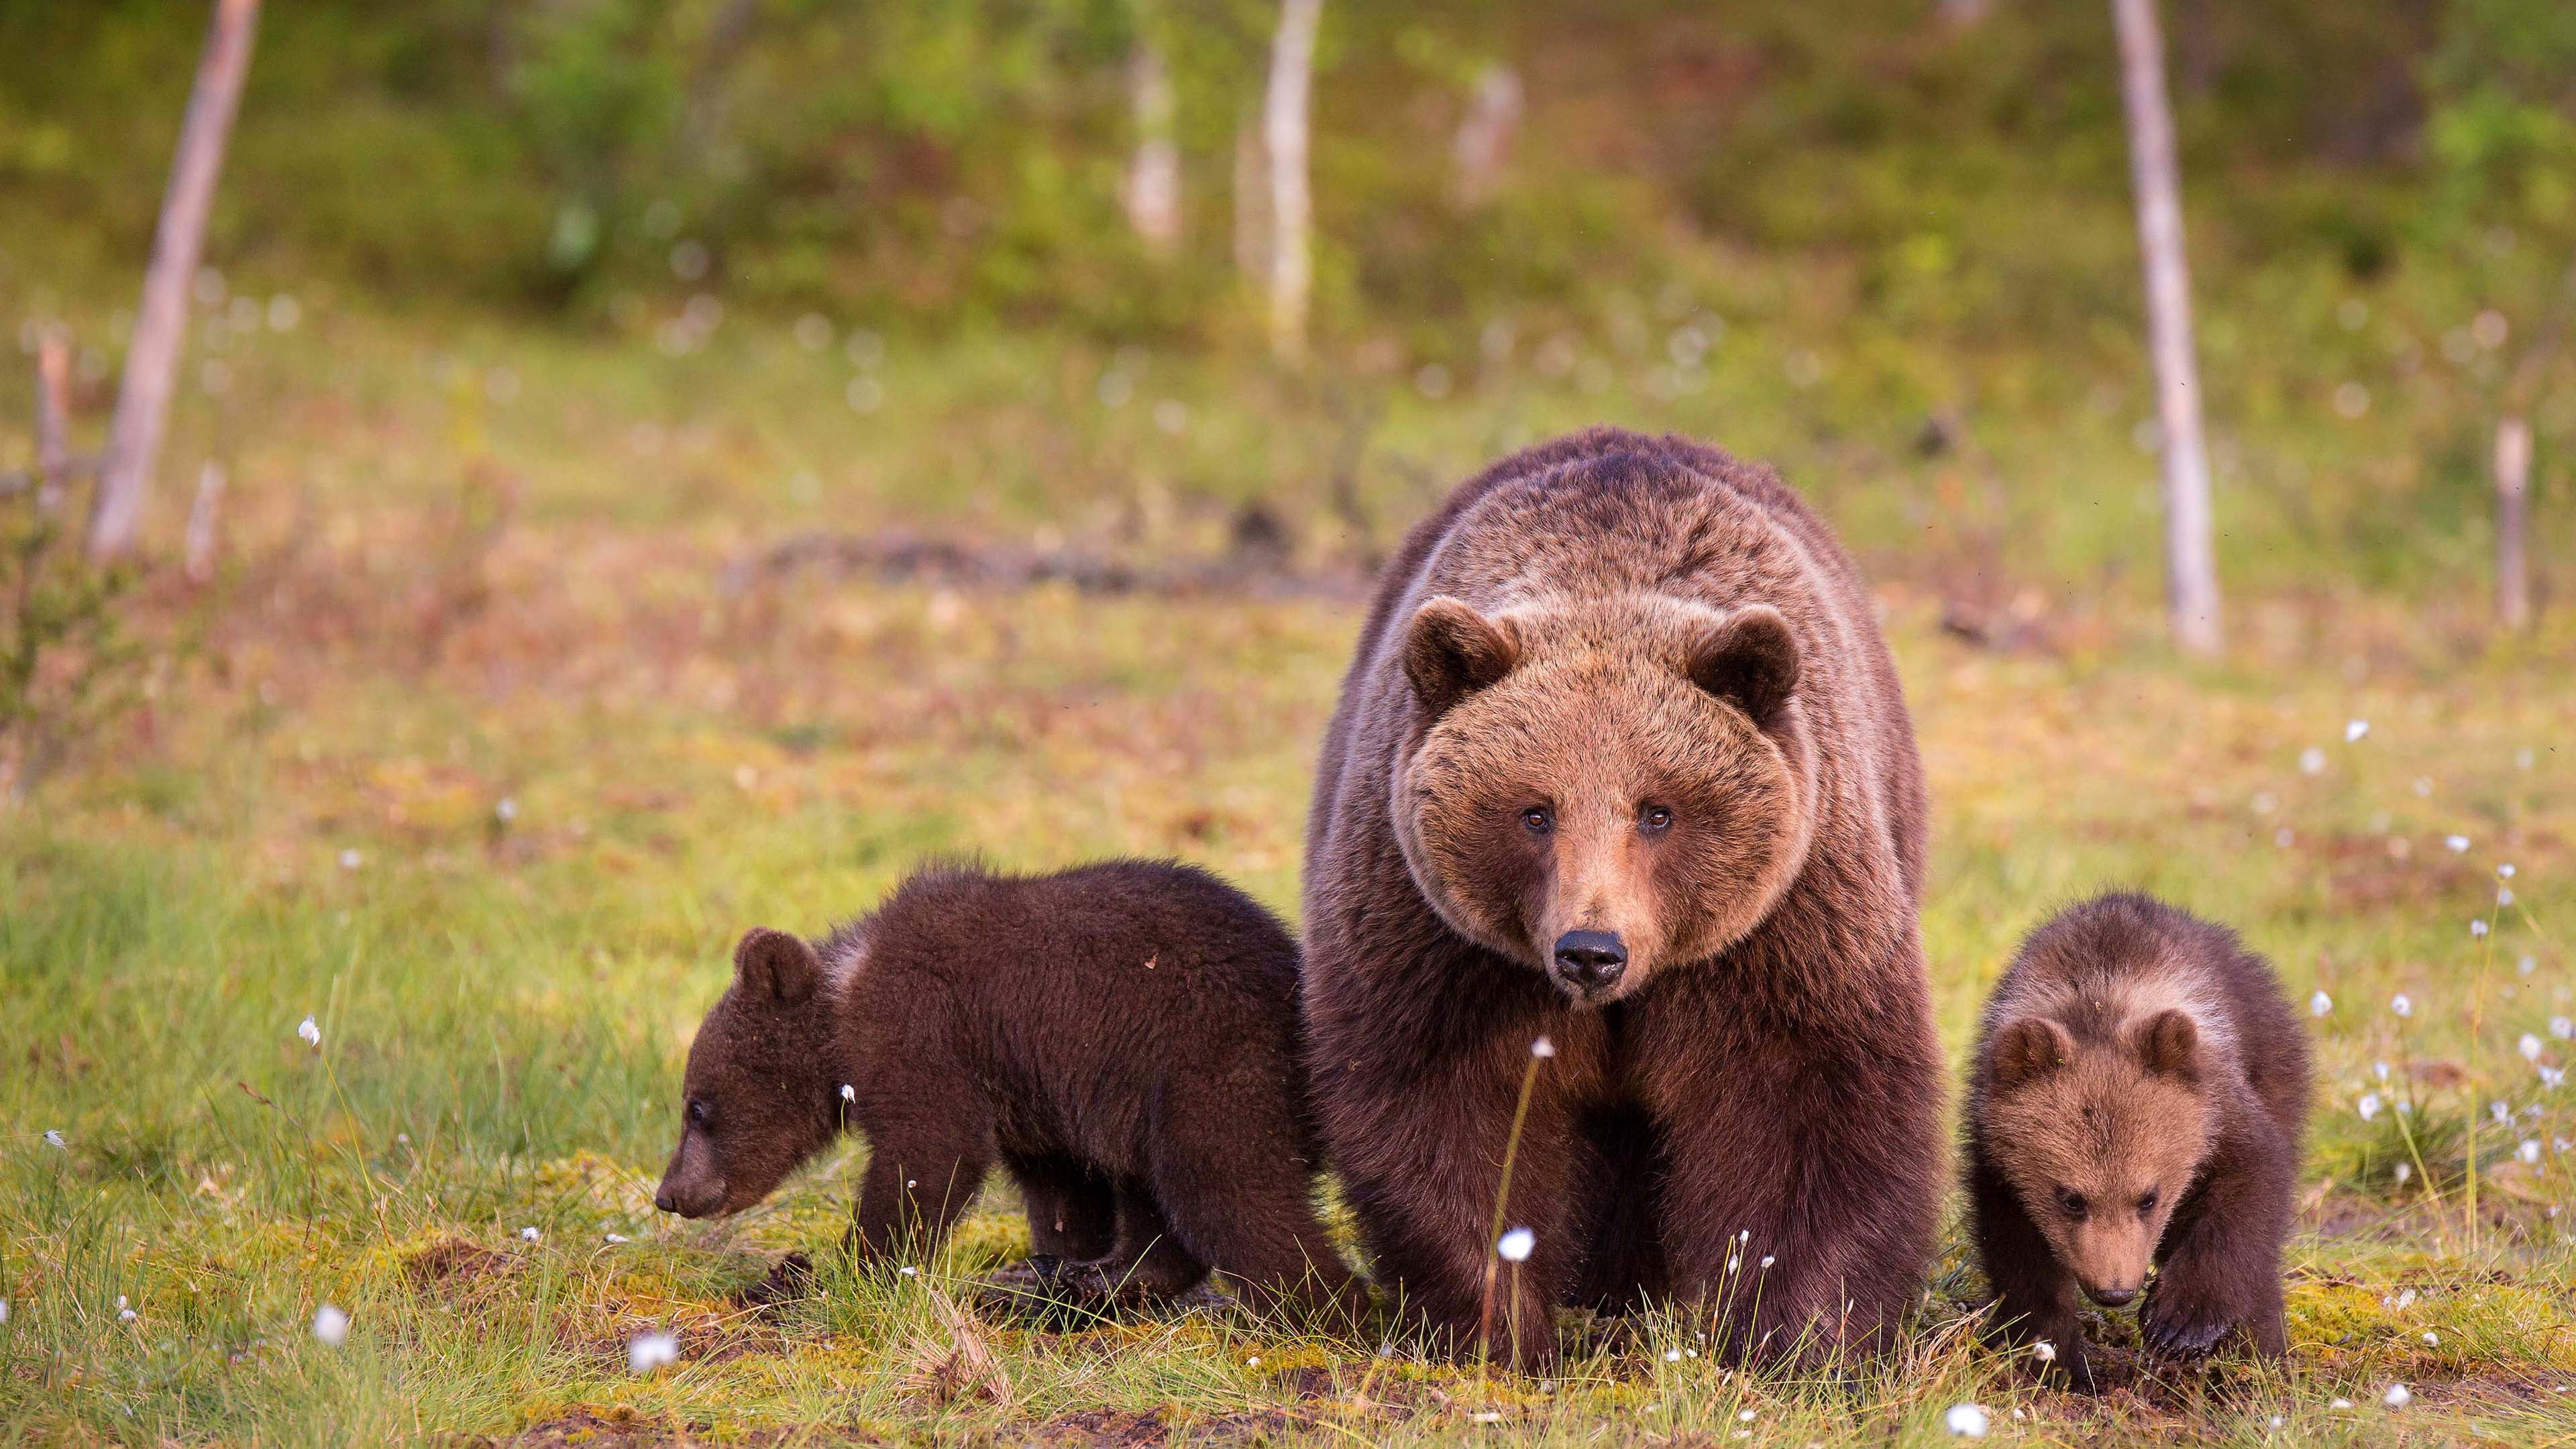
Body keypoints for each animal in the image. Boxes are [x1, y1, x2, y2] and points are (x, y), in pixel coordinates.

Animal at [653, 859, 1366, 1323]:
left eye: (697, 1107)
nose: (669, 1195)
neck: (842, 1005)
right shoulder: (1027, 1095)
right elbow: (1061, 1192)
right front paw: (1057, 1265)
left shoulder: (926, 1032)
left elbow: (929, 1154)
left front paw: (838, 1272)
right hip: (1143, 1097)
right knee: (1160, 1195)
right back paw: (1106, 1278)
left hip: (1214, 1067)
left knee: (1231, 1191)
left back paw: (1337, 1315)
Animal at [1300, 427, 1942, 1368]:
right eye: (1534, 810)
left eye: (1658, 809)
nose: (1591, 951)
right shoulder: (1445, 942)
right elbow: (1450, 1105)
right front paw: (1500, 1325)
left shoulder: (1782, 926)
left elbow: (1810, 1099)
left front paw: (1795, 1335)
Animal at [1964, 893, 2309, 1389]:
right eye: (2071, 1199)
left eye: (2149, 1197)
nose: (2115, 1290)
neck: (2102, 996)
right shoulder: (1996, 1156)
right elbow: (2017, 1250)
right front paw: (2051, 1357)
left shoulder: (2219, 1111)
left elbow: (2250, 1189)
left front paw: (2181, 1323)